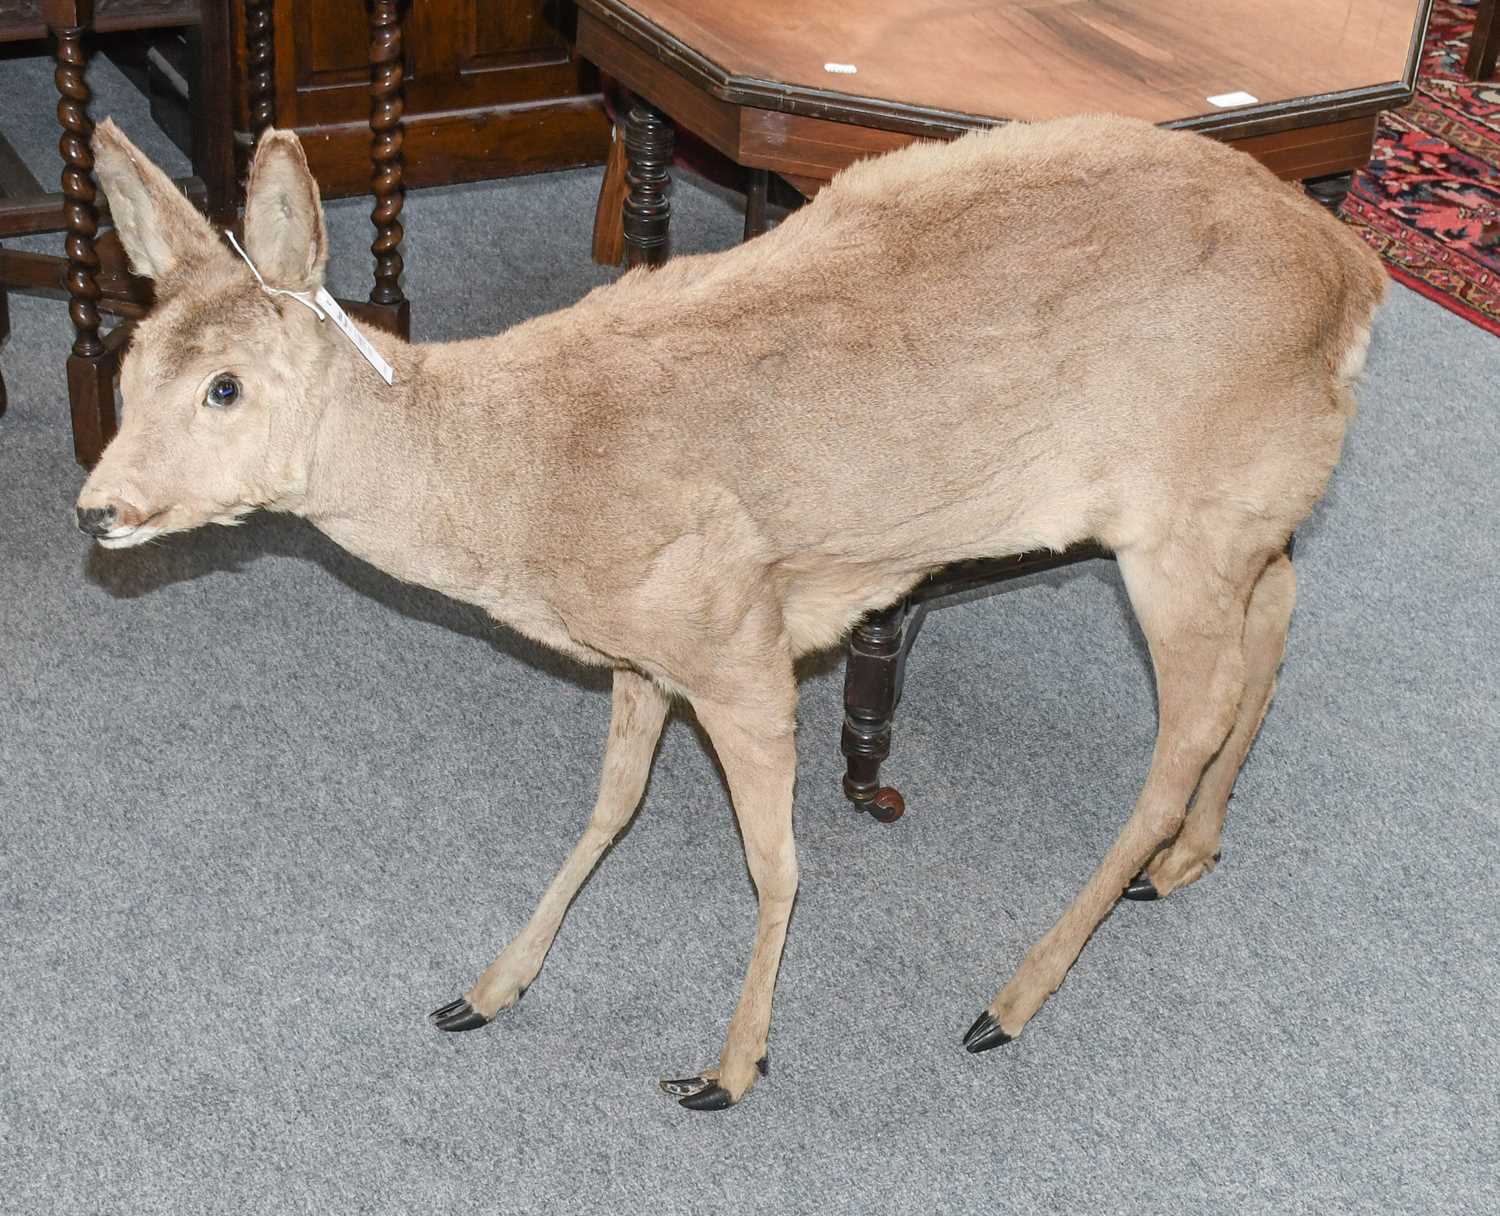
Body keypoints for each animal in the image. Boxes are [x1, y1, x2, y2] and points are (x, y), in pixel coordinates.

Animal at [75, 114, 1385, 1111]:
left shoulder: (736, 636)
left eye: (225, 387)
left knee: (1190, 721)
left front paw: (731, 1064)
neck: (519, 482)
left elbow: (776, 860)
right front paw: (489, 987)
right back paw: (1189, 858)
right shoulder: (643, 653)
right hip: (1238, 508)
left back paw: (1009, 998)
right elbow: (611, 804)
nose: (98, 507)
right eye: (129, 368)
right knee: (1279, 604)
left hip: (1176, 515)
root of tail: (1356, 279)